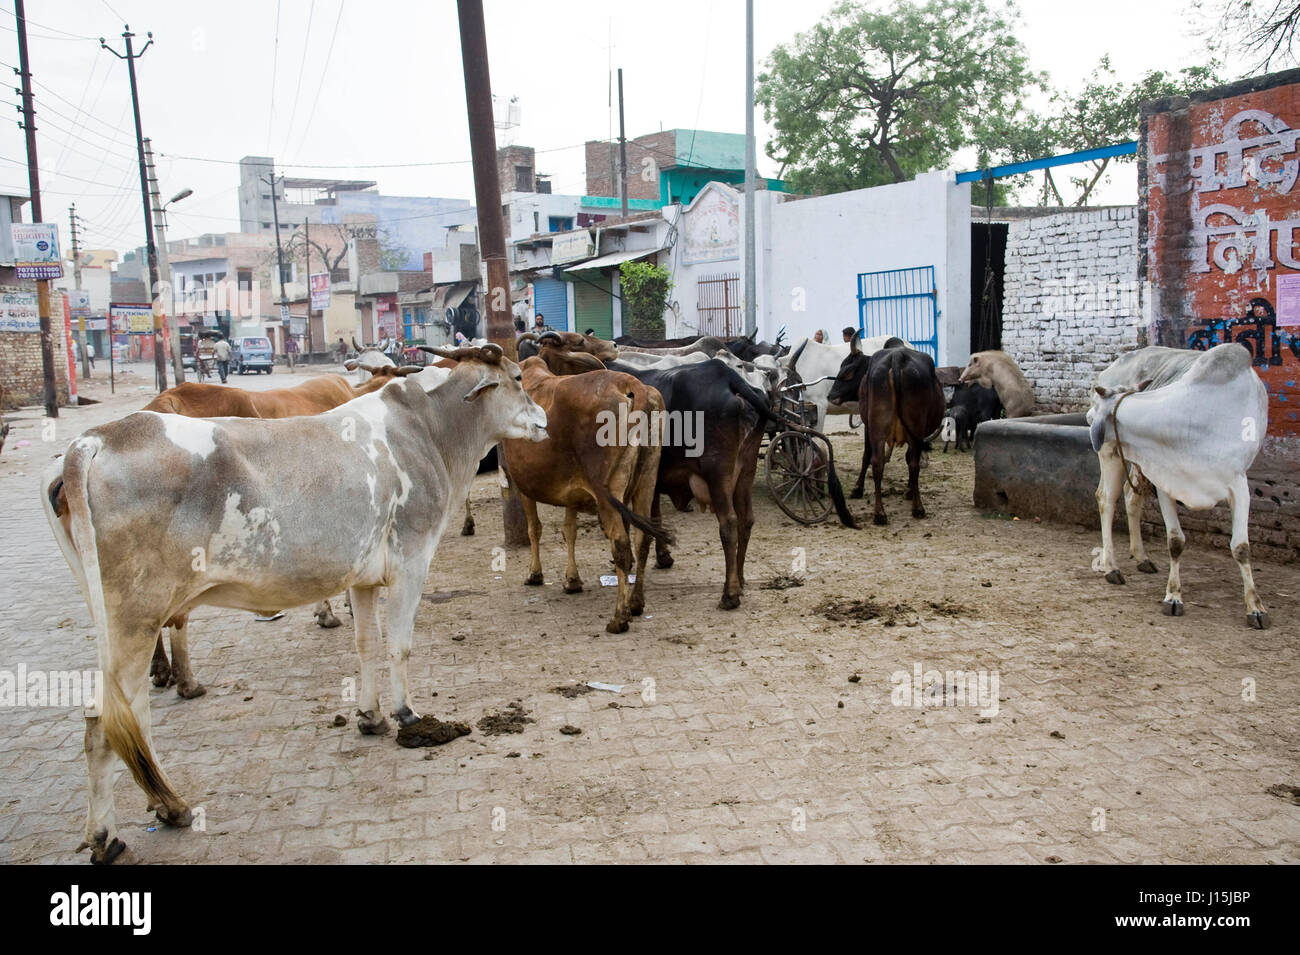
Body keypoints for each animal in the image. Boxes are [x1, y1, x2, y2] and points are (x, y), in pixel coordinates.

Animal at [42, 344, 547, 864]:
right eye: (516, 378)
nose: (543, 421)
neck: (427, 426)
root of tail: (97, 438)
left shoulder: (363, 579)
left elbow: (367, 646)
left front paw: (370, 716)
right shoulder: (411, 562)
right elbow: (398, 647)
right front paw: (407, 714)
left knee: (131, 715)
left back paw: (167, 805)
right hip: (136, 617)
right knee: (104, 720)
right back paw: (110, 832)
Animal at [501, 357, 671, 633]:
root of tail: (627, 382)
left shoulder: (524, 487)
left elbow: (534, 528)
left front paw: (535, 574)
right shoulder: (573, 490)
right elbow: (569, 531)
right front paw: (572, 580)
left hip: (608, 493)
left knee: (621, 546)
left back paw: (619, 617)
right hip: (647, 480)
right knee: (642, 539)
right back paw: (636, 602)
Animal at [829, 337, 945, 525]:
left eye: (847, 371)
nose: (831, 396)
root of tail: (897, 358)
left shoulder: (870, 428)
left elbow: (868, 457)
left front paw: (858, 489)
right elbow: (907, 459)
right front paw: (909, 490)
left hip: (879, 429)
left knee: (878, 463)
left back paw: (880, 514)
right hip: (913, 430)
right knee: (911, 464)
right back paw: (916, 508)